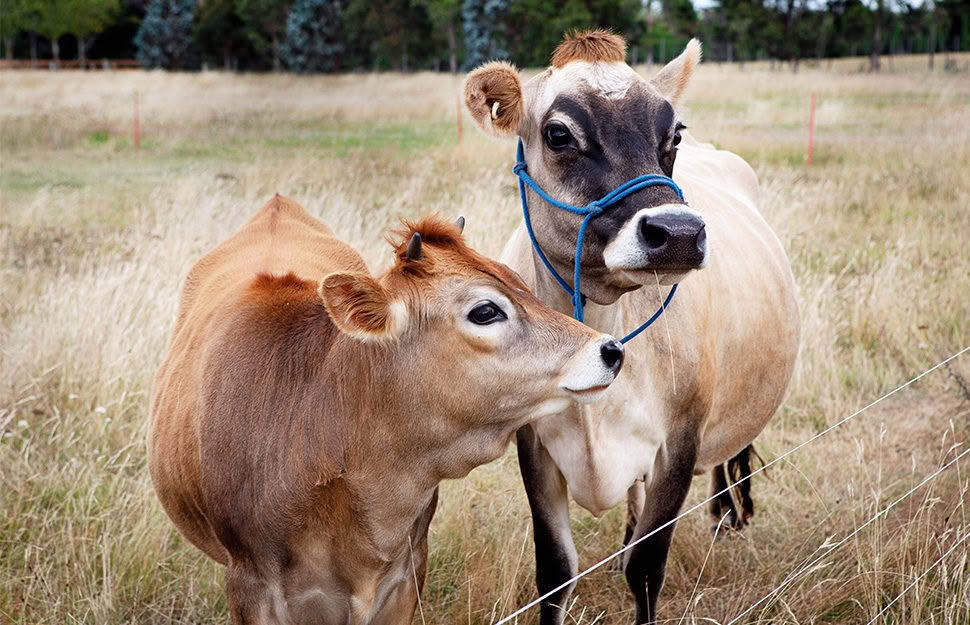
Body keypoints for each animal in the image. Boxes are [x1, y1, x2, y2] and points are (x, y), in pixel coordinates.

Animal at [463, 31, 800, 623]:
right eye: (558, 133)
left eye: (674, 133)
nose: (680, 232)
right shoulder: (535, 446)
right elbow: (555, 572)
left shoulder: (681, 442)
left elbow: (645, 569)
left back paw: (728, 515)